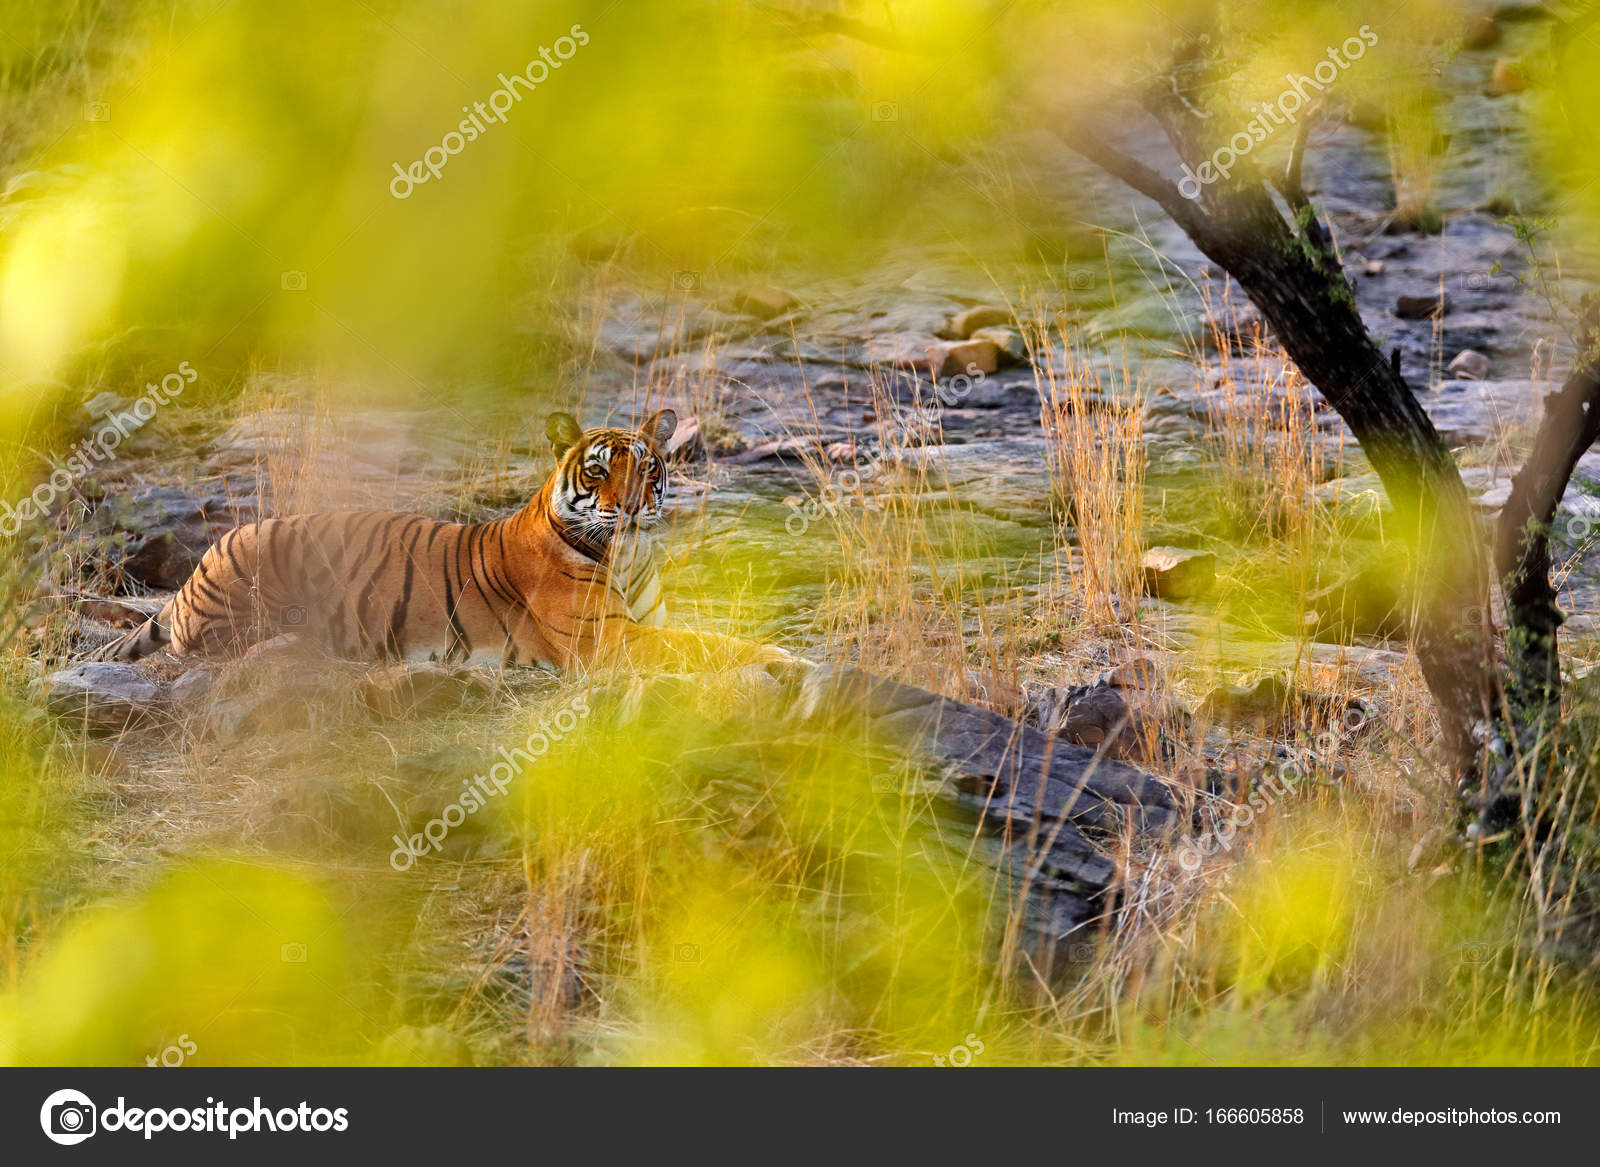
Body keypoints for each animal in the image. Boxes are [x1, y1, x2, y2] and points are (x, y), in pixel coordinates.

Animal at [90, 409, 781, 673]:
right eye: (597, 471)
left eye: (646, 466)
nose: (634, 507)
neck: (631, 554)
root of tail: (201, 562)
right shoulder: (607, 639)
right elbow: (714, 647)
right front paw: (787, 662)